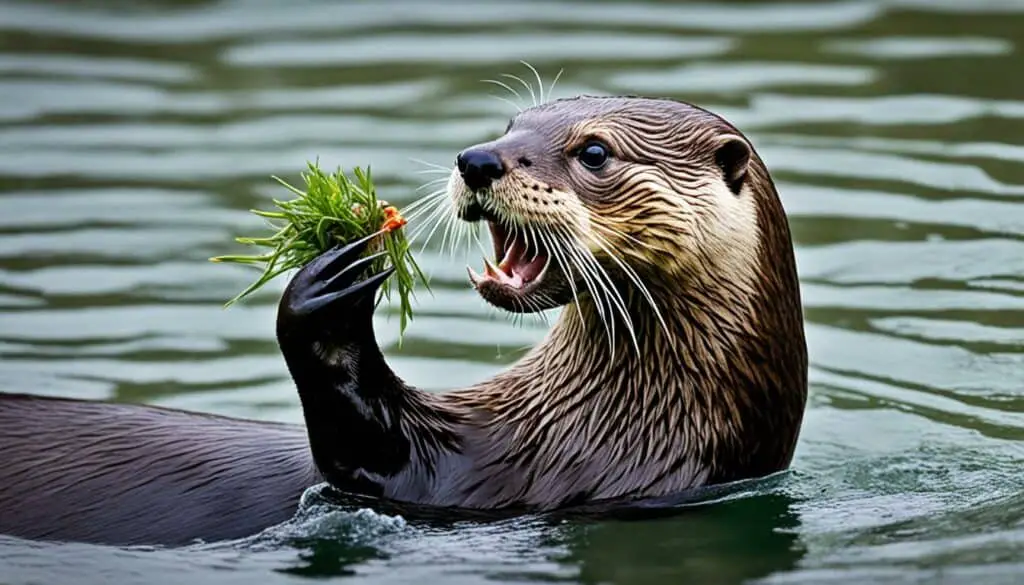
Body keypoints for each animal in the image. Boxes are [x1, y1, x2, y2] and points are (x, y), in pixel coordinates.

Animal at [0, 95, 806, 547]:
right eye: (511, 125)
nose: (478, 159)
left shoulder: (455, 476)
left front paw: (338, 279)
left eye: (595, 150)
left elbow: (361, 440)